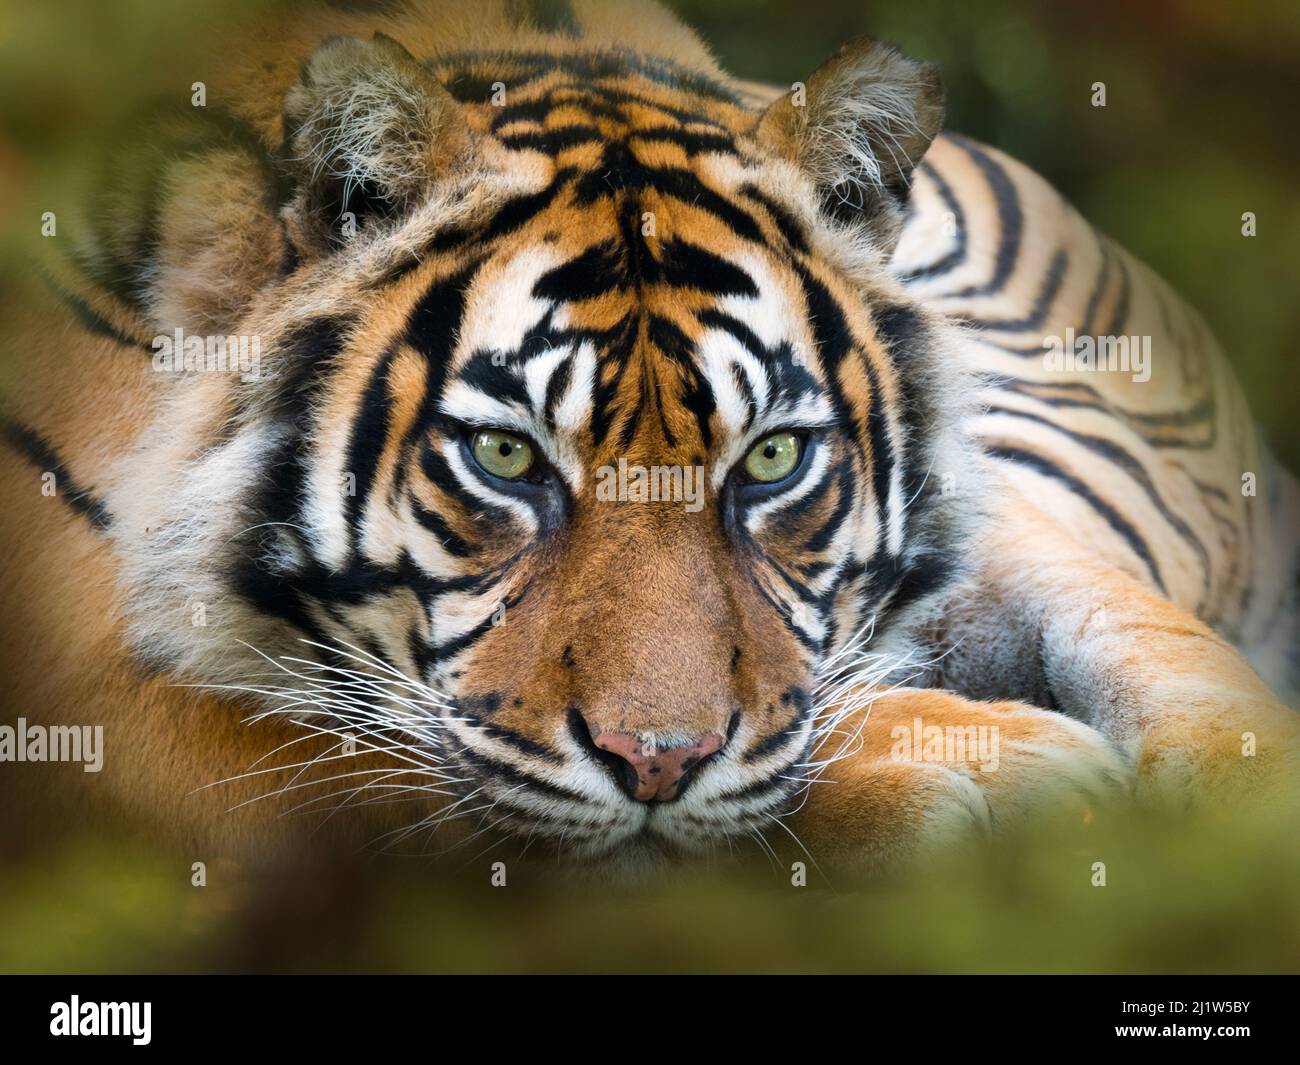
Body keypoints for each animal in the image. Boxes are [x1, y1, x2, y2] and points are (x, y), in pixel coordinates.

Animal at [2, 0, 1300, 879]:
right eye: (507, 458)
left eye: (771, 458)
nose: (659, 761)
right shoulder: (96, 680)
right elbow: (377, 769)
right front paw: (976, 770)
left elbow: (1147, 642)